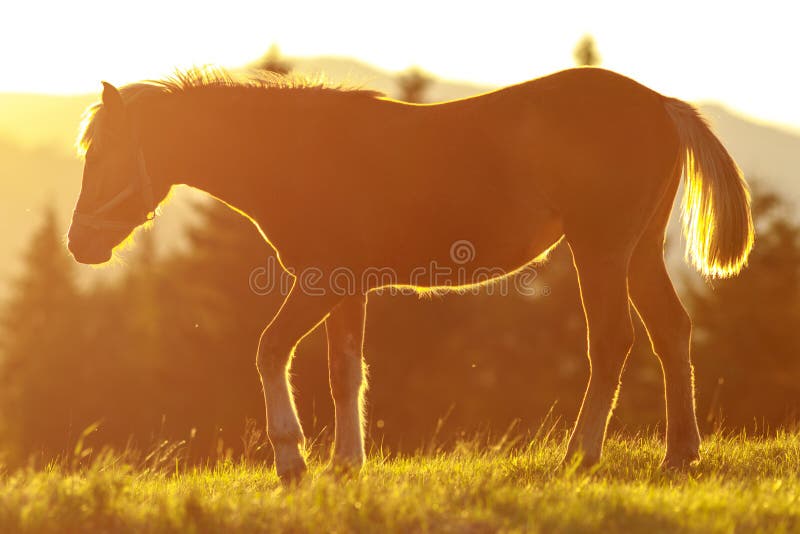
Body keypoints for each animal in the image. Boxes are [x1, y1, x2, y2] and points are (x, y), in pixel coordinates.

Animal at [68, 66, 753, 483]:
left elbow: (269, 349)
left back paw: (581, 455)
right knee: (671, 332)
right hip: (637, 253)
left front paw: (293, 459)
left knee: (613, 342)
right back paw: (678, 454)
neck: (296, 152)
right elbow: (345, 372)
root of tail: (662, 104)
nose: (79, 244)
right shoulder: (346, 289)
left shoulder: (319, 280)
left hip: (601, 250)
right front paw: (346, 465)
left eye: (103, 156)